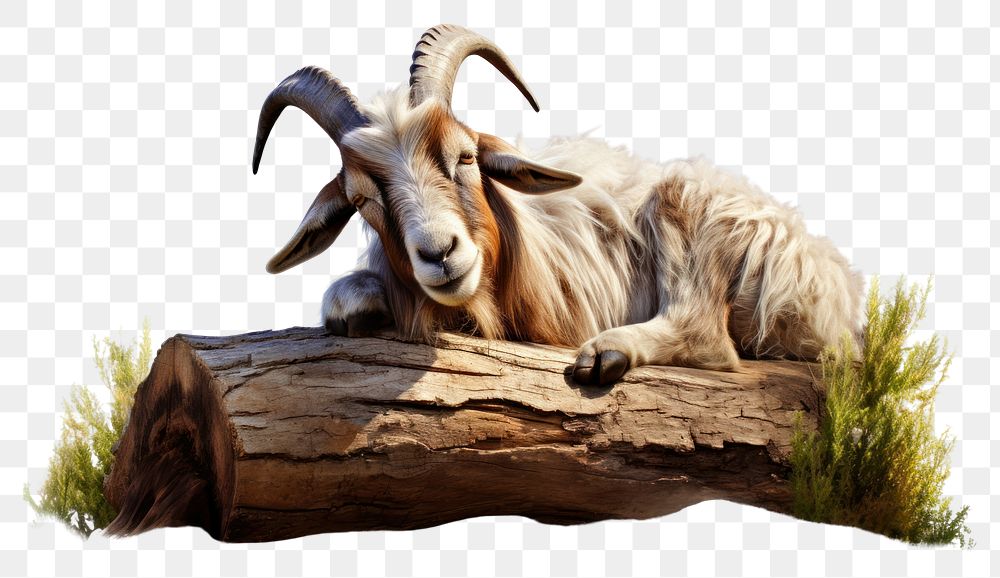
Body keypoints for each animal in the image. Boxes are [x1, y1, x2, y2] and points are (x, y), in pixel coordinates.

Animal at [252, 24, 863, 385]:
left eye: (466, 155)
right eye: (363, 199)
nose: (440, 254)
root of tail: (837, 298)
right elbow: (343, 298)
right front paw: (358, 305)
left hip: (688, 200)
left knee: (709, 339)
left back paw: (607, 354)